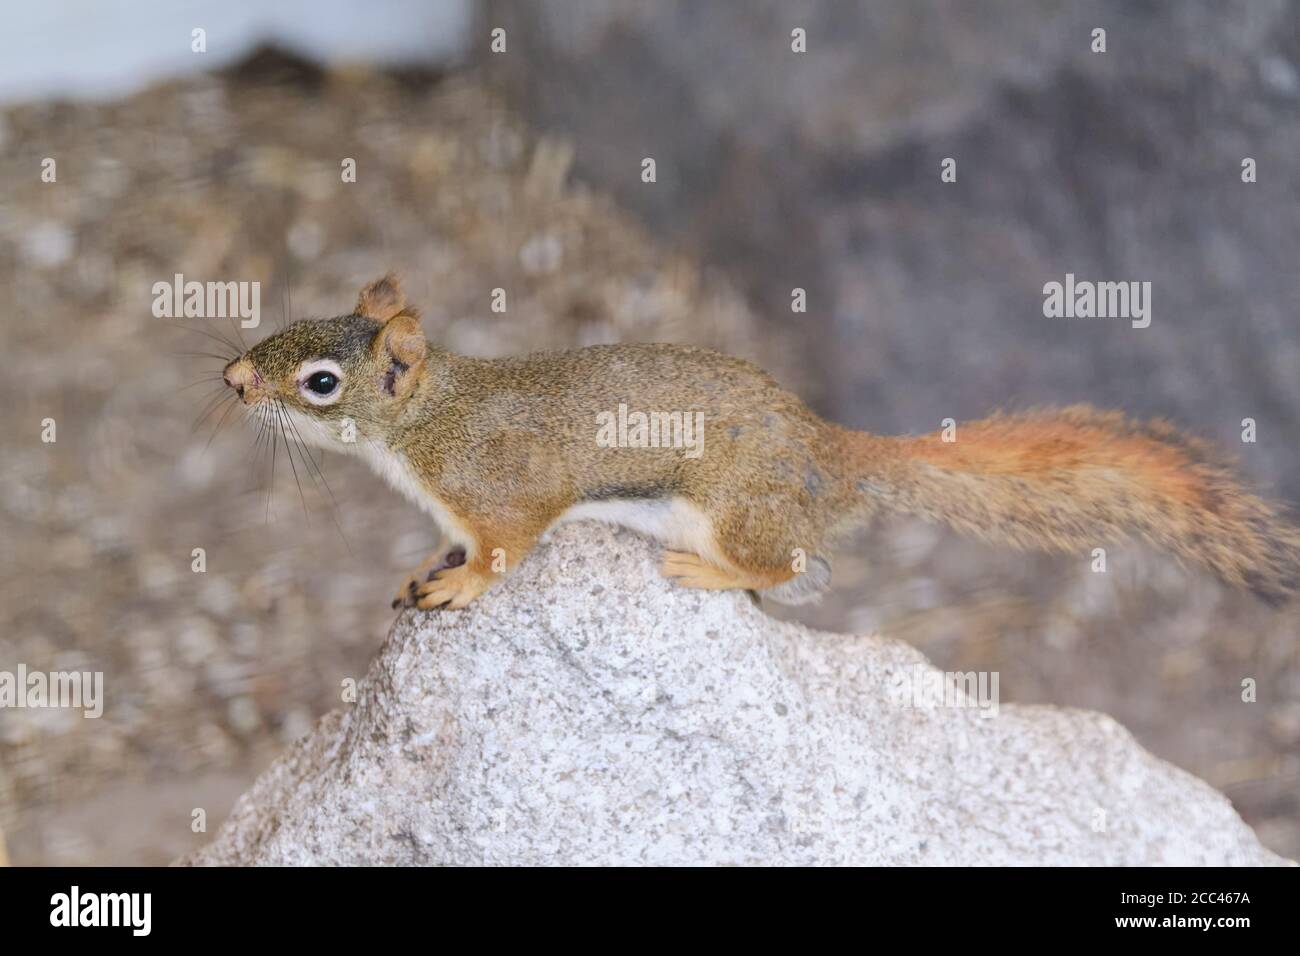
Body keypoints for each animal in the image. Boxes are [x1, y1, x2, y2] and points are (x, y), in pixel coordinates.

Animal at [221, 274, 1300, 612]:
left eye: (320, 383)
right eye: (295, 321)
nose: (231, 378)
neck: (422, 424)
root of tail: (837, 449)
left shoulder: (504, 492)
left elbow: (503, 551)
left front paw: (458, 587)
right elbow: (446, 543)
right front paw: (423, 565)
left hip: (737, 509)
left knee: (792, 567)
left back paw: (708, 572)